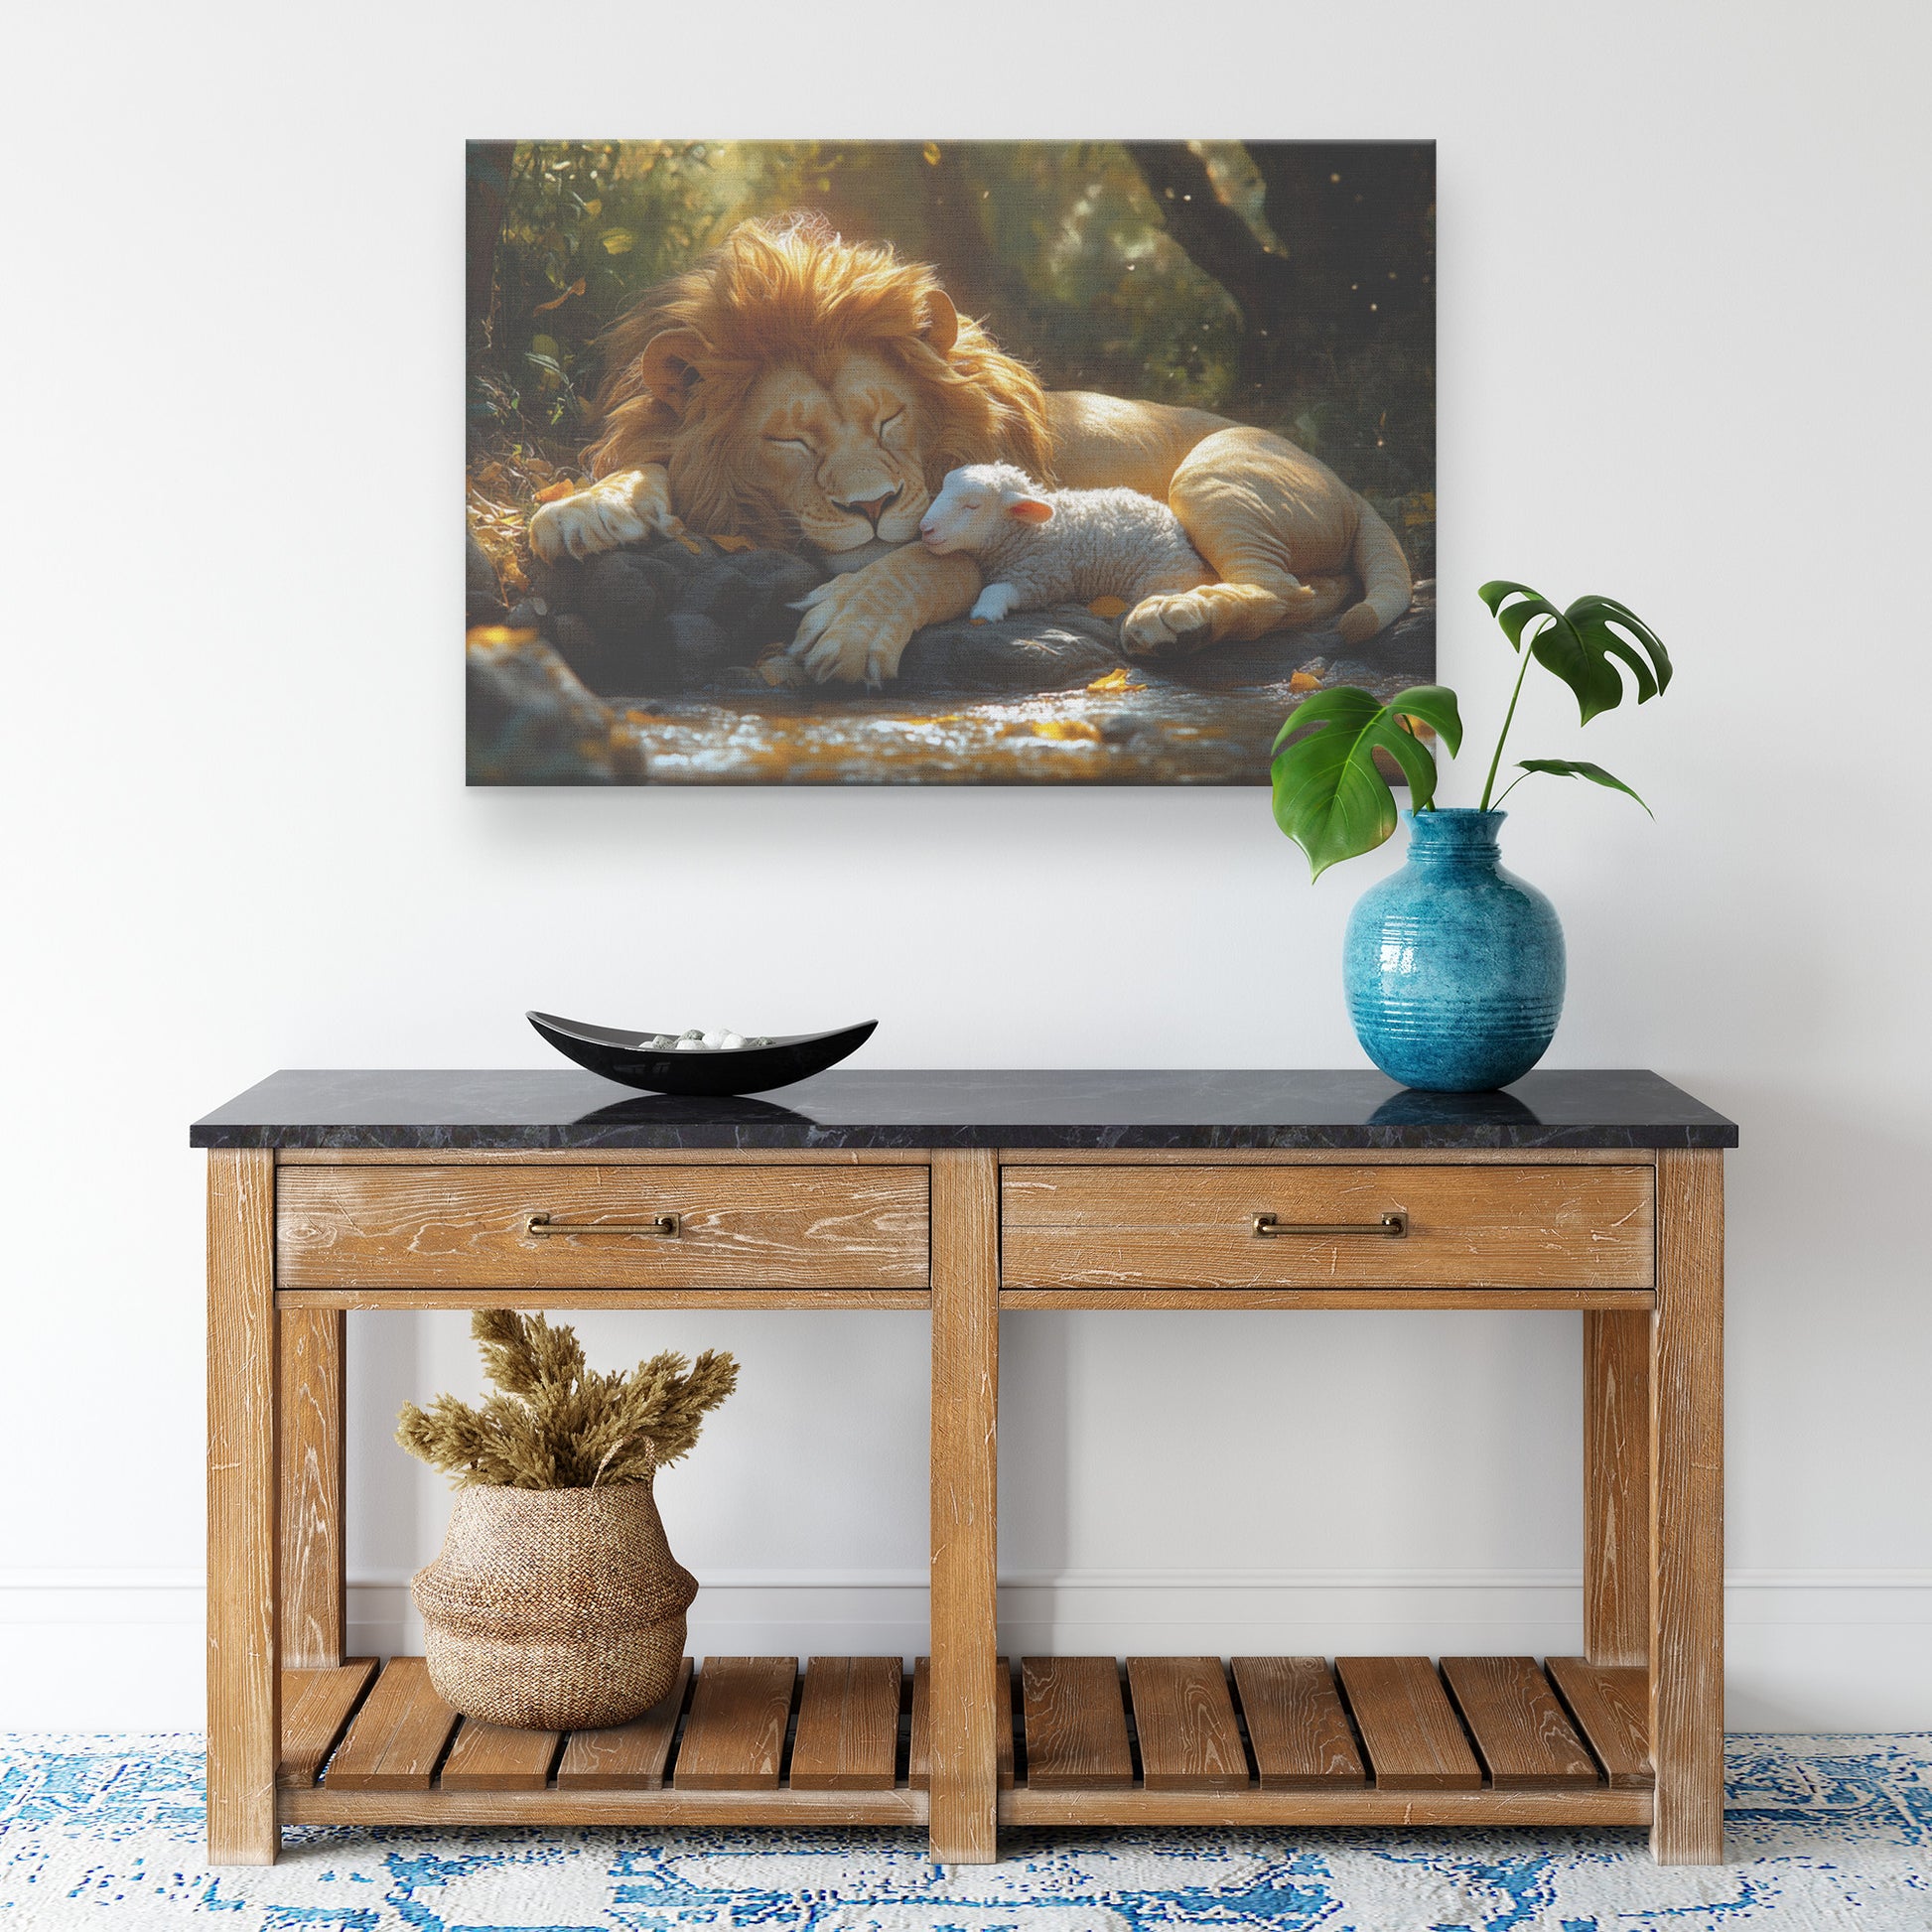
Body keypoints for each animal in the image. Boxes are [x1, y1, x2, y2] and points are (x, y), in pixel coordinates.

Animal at [917, 462, 1214, 629]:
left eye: (972, 506)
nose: (925, 529)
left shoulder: (1041, 576)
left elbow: (996, 589)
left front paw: (986, 611)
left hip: (1163, 575)